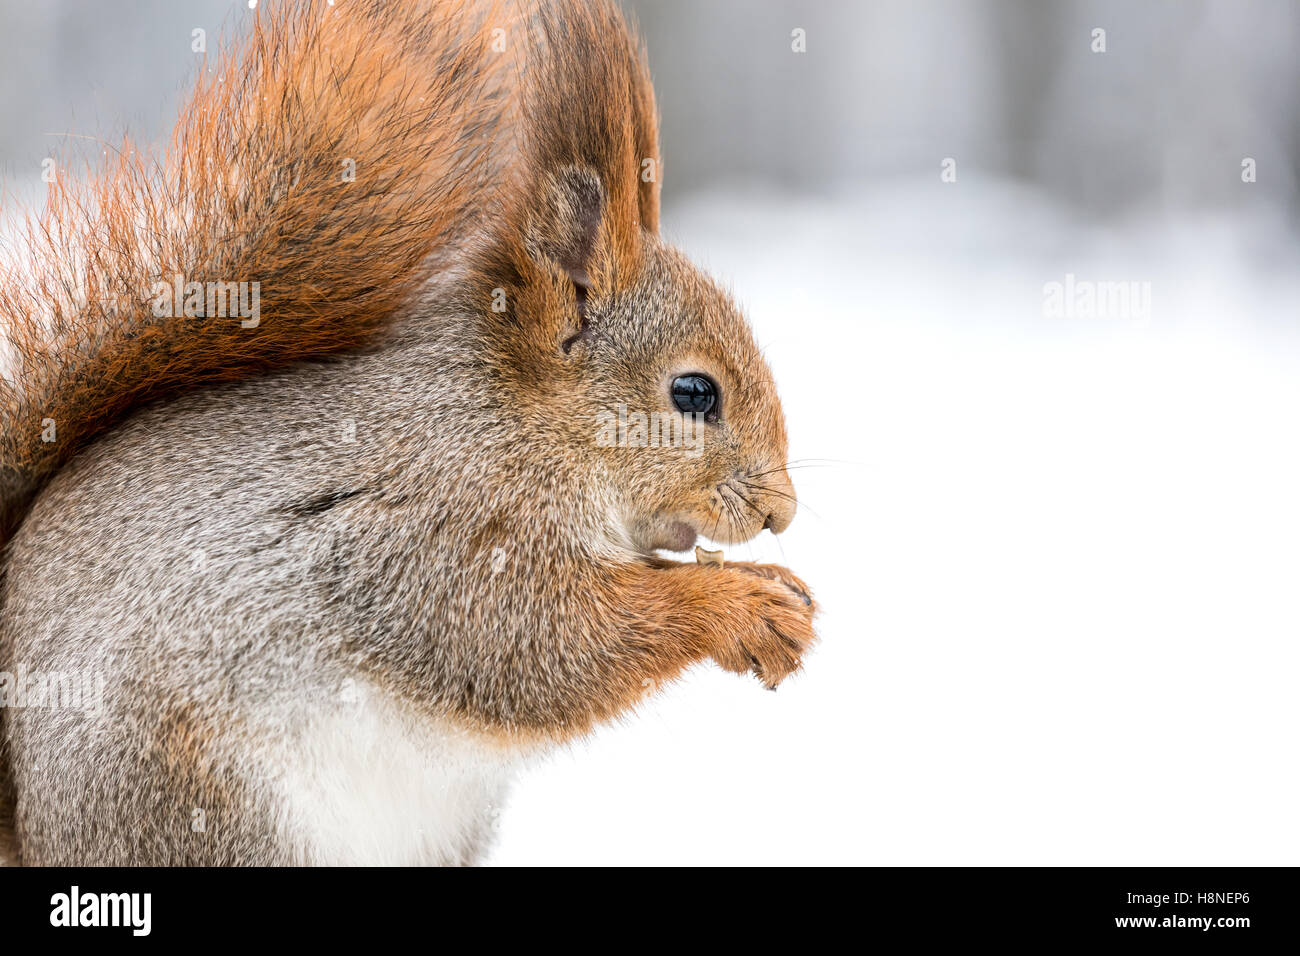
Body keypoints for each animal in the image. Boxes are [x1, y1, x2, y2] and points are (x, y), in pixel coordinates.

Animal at [0, 0, 815, 865]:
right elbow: (539, 643)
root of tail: (36, 827)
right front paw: (740, 604)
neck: (517, 420)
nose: (781, 513)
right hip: (206, 814)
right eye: (694, 393)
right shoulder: (441, 529)